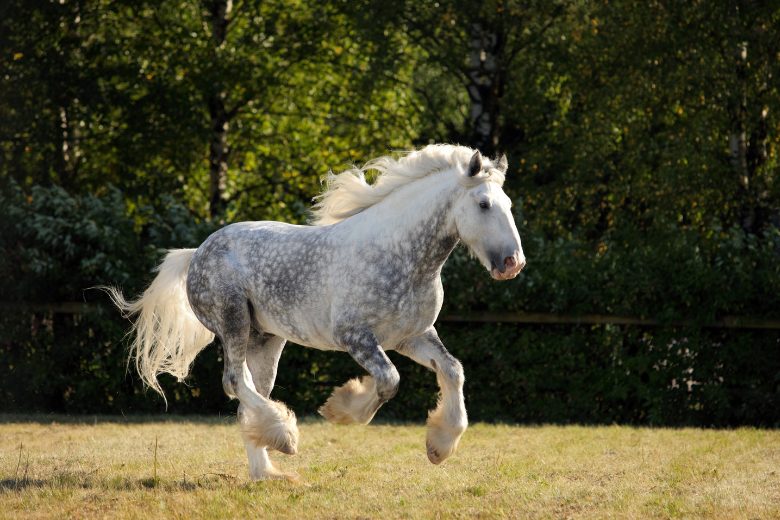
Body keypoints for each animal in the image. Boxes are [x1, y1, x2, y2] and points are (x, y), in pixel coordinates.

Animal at [107, 144, 525, 480]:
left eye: (508, 205)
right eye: (484, 204)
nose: (513, 264)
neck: (400, 255)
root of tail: (197, 252)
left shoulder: (411, 336)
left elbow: (453, 370)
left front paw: (439, 446)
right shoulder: (356, 337)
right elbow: (389, 380)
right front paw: (341, 409)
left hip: (266, 339)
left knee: (248, 398)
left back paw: (268, 473)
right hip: (233, 323)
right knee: (234, 383)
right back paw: (285, 439)